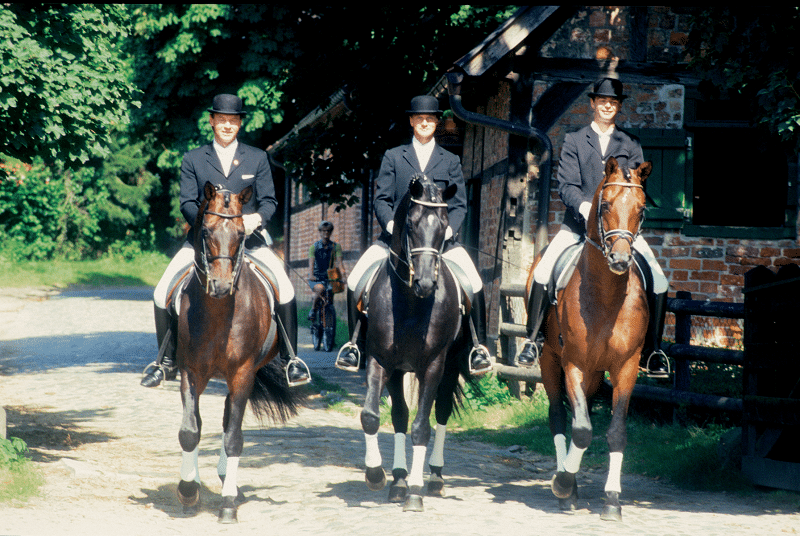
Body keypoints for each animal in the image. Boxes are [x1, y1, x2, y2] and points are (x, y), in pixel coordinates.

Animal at [175, 182, 299, 524]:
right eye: (205, 231)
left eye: (242, 234)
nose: (220, 285)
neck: (219, 311)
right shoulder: (191, 371)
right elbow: (190, 430)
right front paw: (187, 490)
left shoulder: (243, 373)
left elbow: (233, 437)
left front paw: (228, 504)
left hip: (240, 376)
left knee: (230, 419)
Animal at [360, 174, 471, 512]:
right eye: (411, 223)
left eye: (444, 224)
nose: (425, 283)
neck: (410, 301)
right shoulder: (381, 360)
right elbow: (373, 416)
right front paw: (377, 475)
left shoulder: (434, 365)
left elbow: (422, 426)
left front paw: (415, 492)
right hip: (399, 371)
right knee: (400, 415)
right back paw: (397, 480)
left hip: (452, 365)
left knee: (442, 411)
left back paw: (434, 477)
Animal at [532, 157, 652, 521]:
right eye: (606, 205)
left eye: (641, 209)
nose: (621, 260)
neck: (605, 295)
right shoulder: (573, 362)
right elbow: (583, 430)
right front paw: (562, 484)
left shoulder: (626, 367)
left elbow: (615, 433)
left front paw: (612, 500)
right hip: (549, 360)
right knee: (559, 416)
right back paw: (566, 487)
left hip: (596, 374)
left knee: (576, 415)